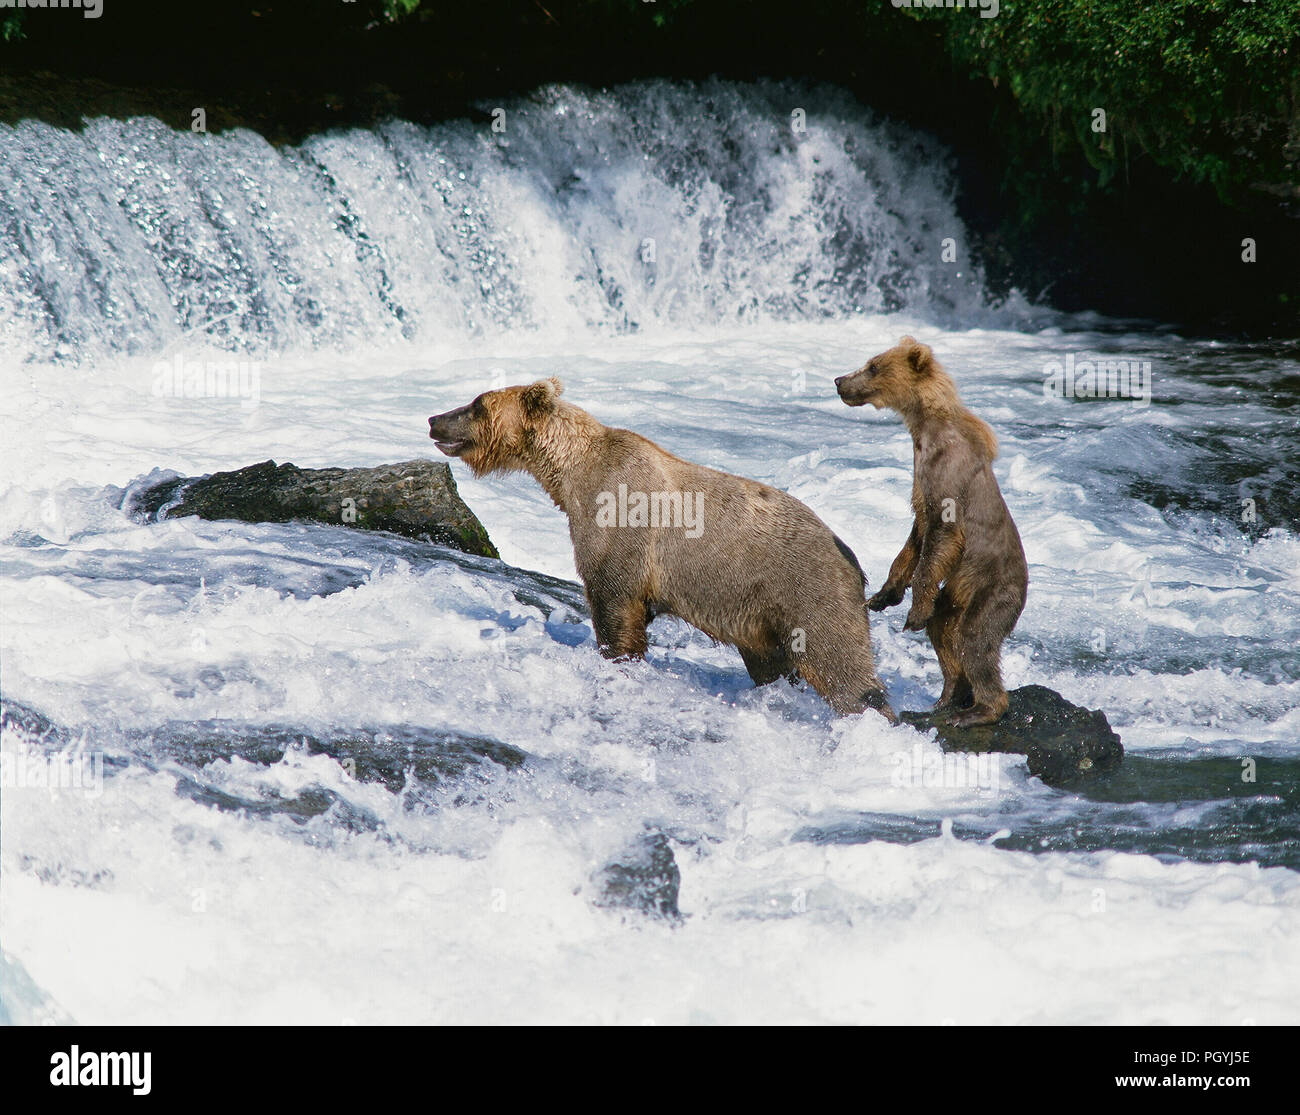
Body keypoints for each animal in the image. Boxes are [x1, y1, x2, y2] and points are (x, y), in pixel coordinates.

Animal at [428, 378, 894, 721]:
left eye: (478, 404)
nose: (434, 418)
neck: (571, 477)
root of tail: (853, 559)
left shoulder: (623, 536)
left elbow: (615, 608)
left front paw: (616, 659)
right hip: (761, 617)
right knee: (774, 666)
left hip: (807, 590)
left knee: (842, 666)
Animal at [835, 337, 1027, 726]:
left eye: (873, 366)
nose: (839, 380)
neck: (925, 431)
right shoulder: (919, 482)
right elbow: (915, 538)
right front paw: (883, 595)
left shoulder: (947, 477)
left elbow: (941, 536)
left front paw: (913, 612)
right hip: (954, 595)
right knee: (944, 634)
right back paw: (948, 697)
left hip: (993, 587)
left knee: (976, 639)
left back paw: (979, 710)